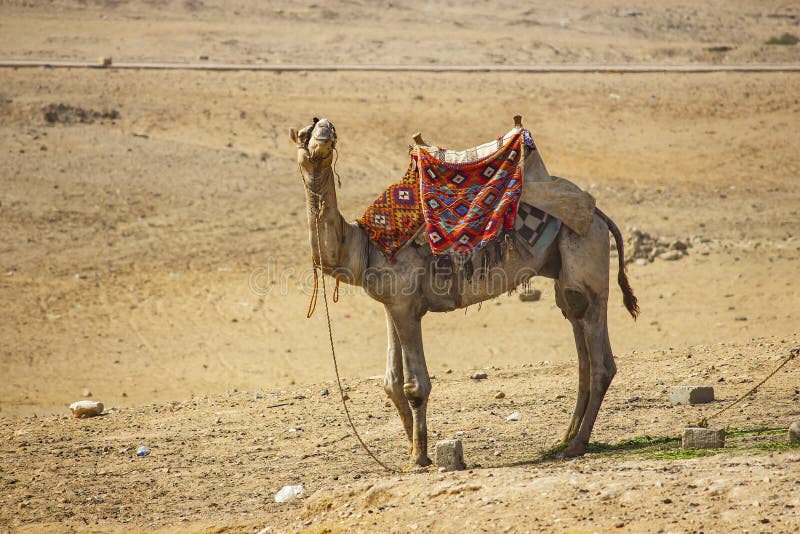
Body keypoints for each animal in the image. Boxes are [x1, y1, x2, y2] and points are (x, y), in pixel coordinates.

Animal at [290, 118, 639, 468]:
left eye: (325, 130)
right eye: (306, 134)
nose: (325, 130)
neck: (364, 246)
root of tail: (598, 214)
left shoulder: (403, 304)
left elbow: (414, 386)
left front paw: (418, 459)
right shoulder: (394, 304)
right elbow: (391, 383)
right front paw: (415, 454)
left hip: (587, 256)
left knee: (601, 361)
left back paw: (577, 445)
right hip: (565, 275)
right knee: (580, 345)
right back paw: (564, 439)